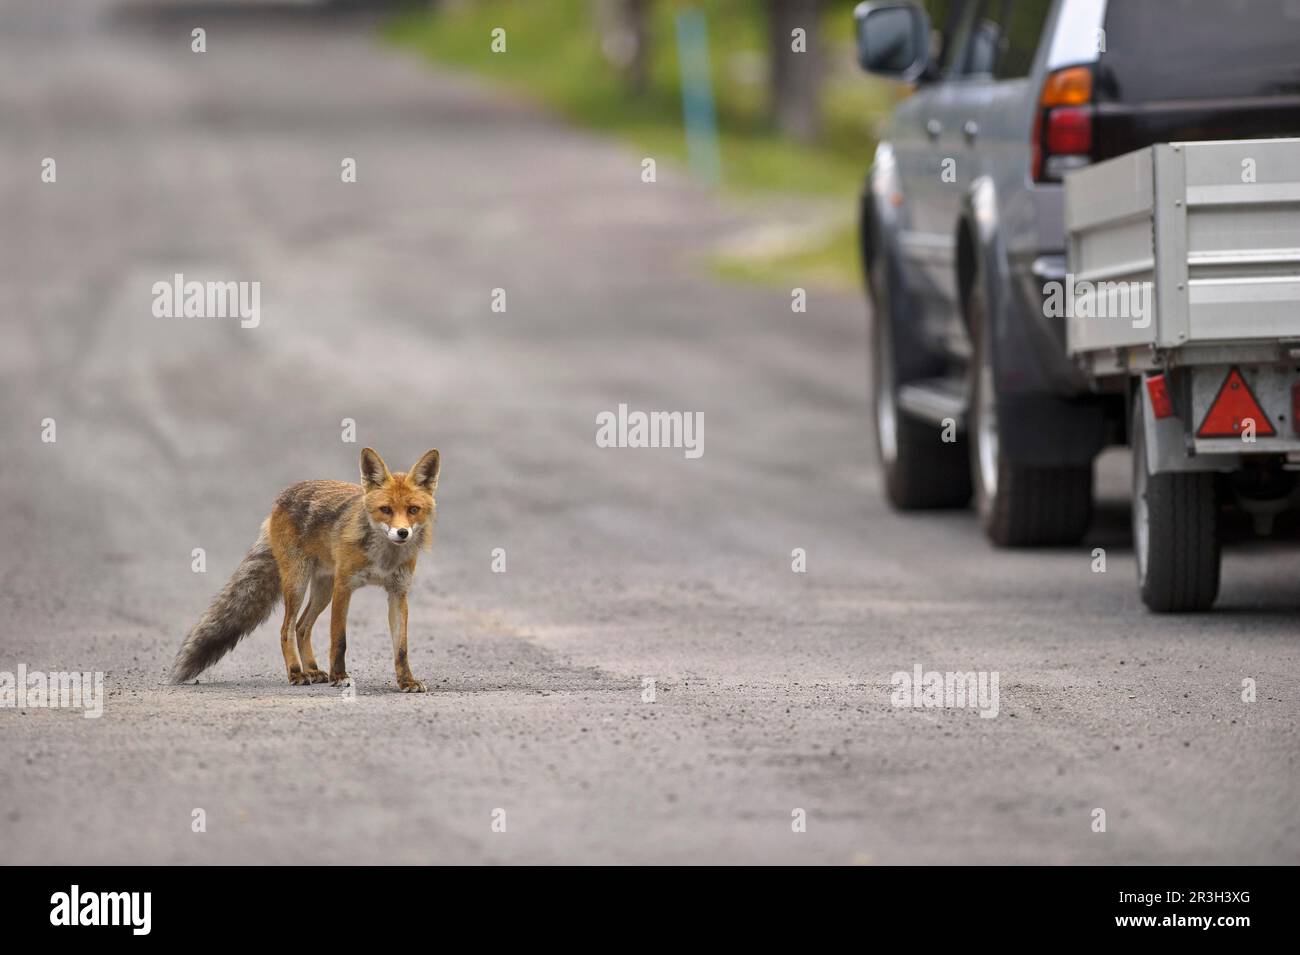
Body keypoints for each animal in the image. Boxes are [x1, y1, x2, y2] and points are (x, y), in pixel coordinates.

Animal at [170, 447, 441, 692]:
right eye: (386, 510)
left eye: (413, 510)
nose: (402, 533)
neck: (383, 558)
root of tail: (282, 496)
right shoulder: (344, 587)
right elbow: (339, 640)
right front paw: (339, 676)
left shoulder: (398, 594)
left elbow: (401, 648)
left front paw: (406, 681)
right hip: (298, 583)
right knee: (286, 628)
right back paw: (296, 673)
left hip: (322, 590)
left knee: (302, 627)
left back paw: (312, 669)